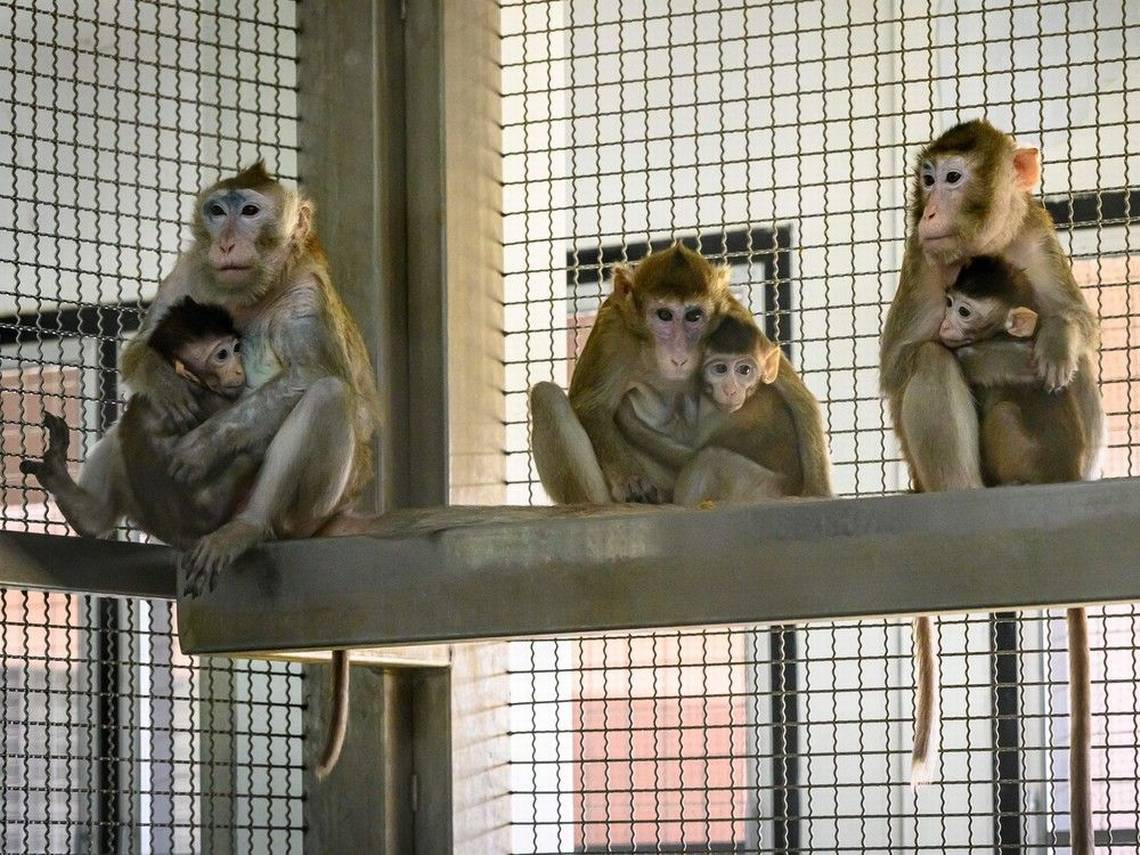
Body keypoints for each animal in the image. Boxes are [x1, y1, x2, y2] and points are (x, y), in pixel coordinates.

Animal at [530, 243, 735, 504]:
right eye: (664, 315)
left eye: (694, 316)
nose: (679, 350)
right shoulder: (613, 328)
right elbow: (592, 406)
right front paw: (631, 480)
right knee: (546, 396)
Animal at [614, 311, 833, 503]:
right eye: (720, 369)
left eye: (744, 370)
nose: (730, 390)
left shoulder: (716, 413)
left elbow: (691, 454)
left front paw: (626, 417)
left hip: (759, 488)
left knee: (710, 459)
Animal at [879, 120, 1099, 790]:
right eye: (927, 178)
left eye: (954, 178)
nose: (928, 208)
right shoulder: (922, 259)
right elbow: (901, 363)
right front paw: (995, 351)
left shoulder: (1037, 235)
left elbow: (1077, 323)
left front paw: (1053, 339)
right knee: (929, 362)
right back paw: (964, 495)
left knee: (1083, 371)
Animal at [938, 255, 1101, 852]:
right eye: (949, 302)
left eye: (965, 310)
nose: (946, 323)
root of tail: (1066, 476)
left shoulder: (988, 353)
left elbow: (984, 368)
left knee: (1007, 410)